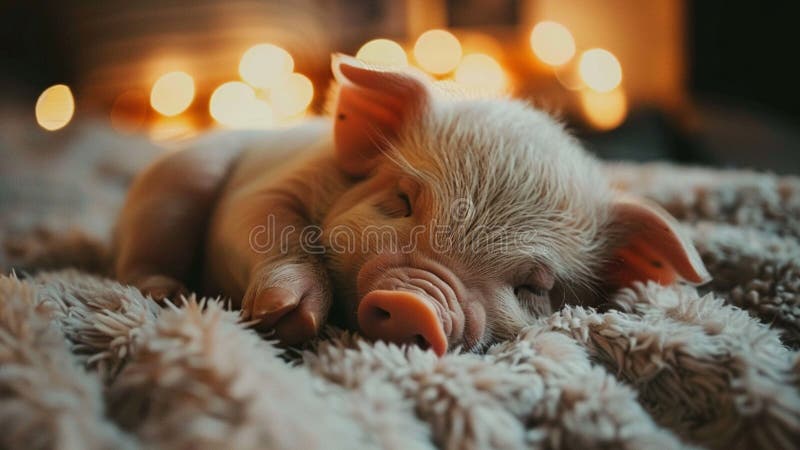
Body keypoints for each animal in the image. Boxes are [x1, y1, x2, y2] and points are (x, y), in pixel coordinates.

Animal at [113, 54, 710, 356]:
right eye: (401, 200)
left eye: (533, 287)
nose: (415, 302)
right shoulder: (272, 187)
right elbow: (265, 223)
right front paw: (285, 314)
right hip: (175, 185)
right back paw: (165, 294)